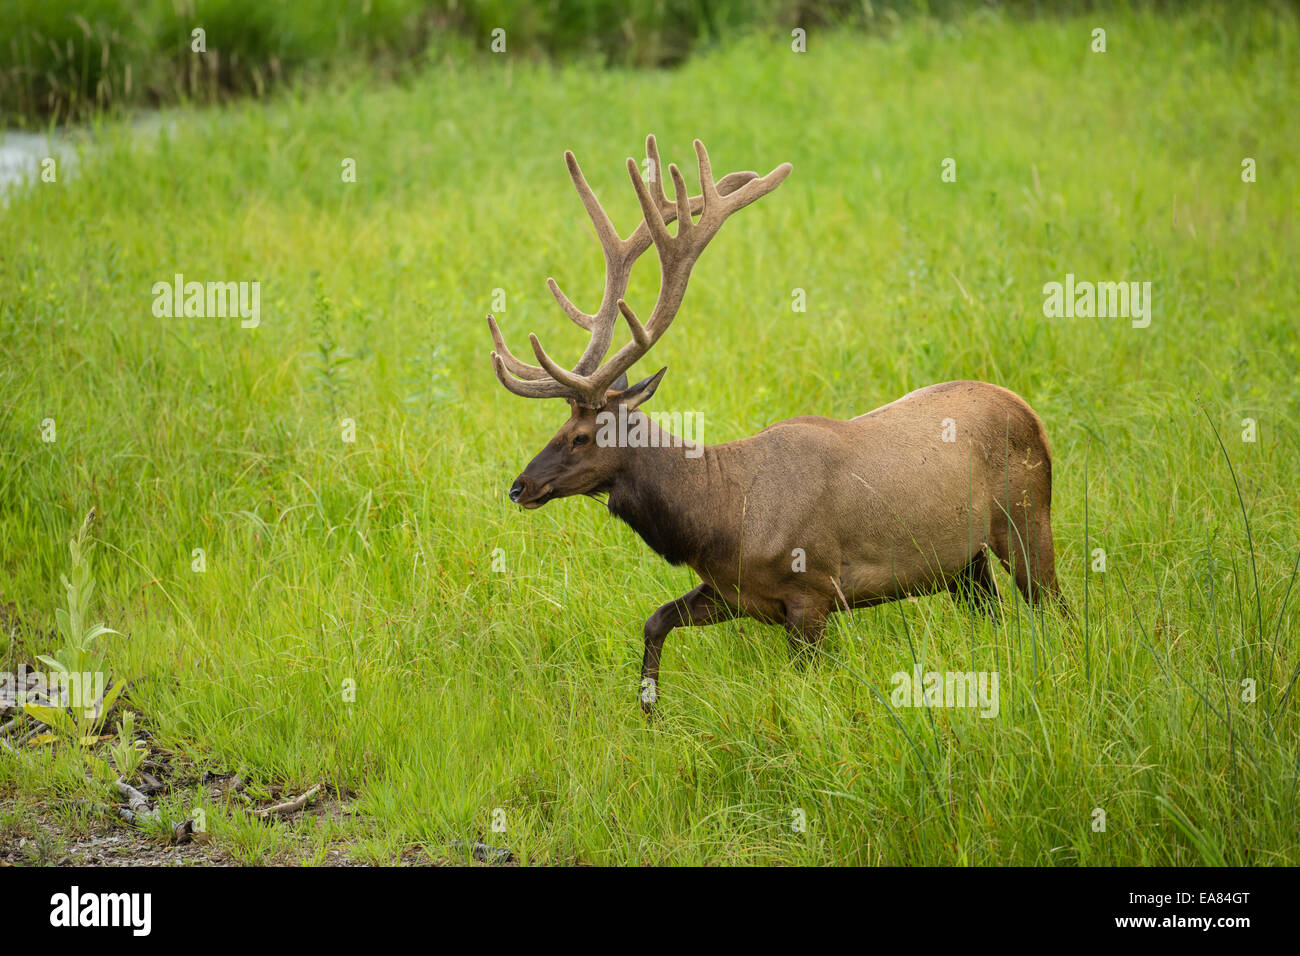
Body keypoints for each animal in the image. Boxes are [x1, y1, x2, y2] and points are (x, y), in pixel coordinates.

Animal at [488, 135, 1063, 714]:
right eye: (559, 428)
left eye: (580, 437)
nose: (520, 486)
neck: (721, 514)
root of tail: (1032, 413)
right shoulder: (732, 592)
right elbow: (655, 620)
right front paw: (650, 711)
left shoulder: (813, 592)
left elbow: (805, 683)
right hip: (965, 564)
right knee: (995, 614)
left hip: (1027, 519)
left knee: (1055, 609)